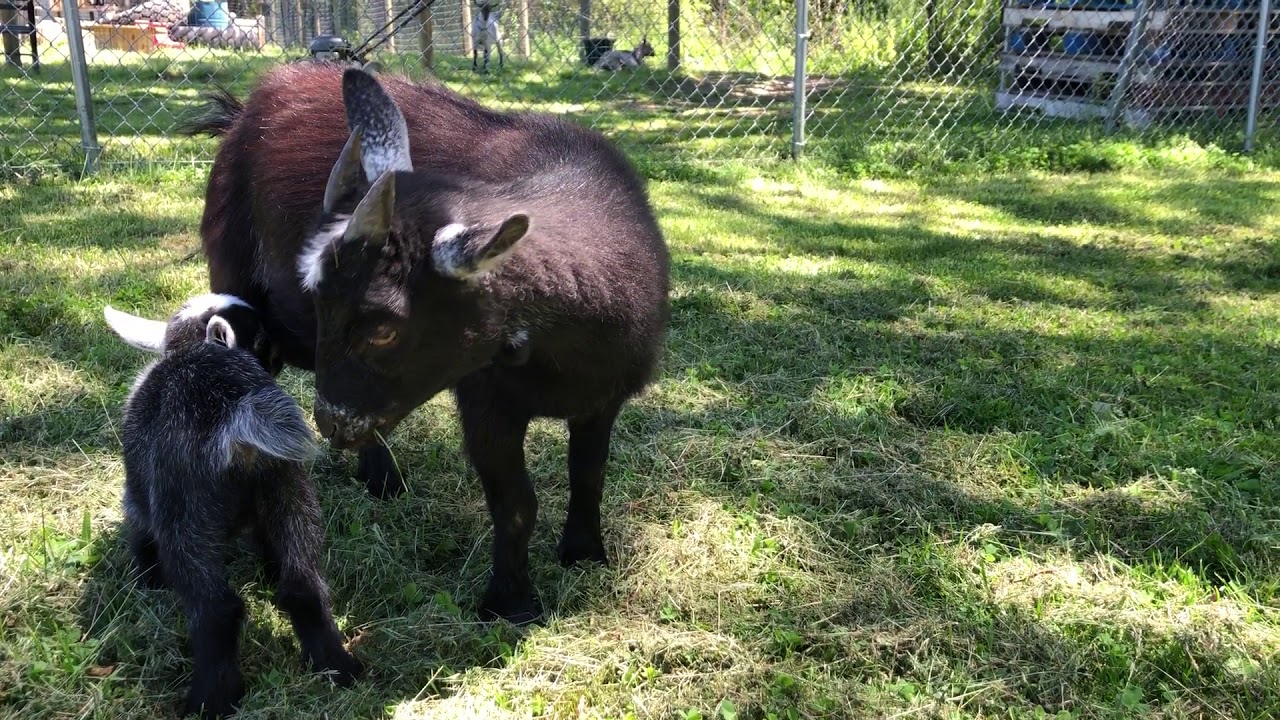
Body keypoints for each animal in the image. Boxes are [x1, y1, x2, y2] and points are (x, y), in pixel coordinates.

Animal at [103, 294, 362, 718]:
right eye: (260, 338)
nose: (280, 354)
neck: (189, 348)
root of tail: (236, 414)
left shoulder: (139, 496)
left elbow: (139, 534)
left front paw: (148, 580)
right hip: (290, 496)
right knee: (303, 588)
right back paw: (336, 667)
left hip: (184, 520)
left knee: (216, 610)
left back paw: (210, 699)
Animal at [182, 65, 670, 624]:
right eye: (321, 300)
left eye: (384, 328)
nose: (330, 424)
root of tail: (245, 110)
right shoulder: (486, 404)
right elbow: (516, 504)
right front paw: (510, 603)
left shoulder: (603, 399)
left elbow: (589, 473)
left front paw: (585, 552)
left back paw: (380, 479)